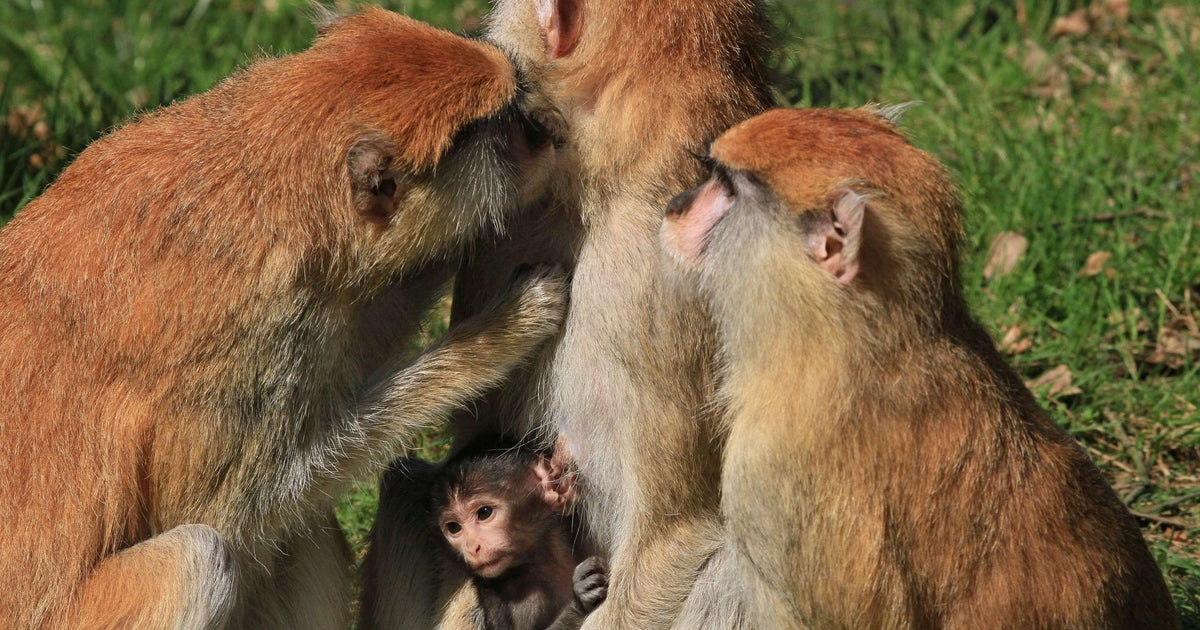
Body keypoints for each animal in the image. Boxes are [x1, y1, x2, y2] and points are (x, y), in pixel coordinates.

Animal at [0, 7, 569, 628]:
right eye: (505, 125)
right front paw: (505, 329)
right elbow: (239, 507)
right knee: (199, 555)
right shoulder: (250, 341)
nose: (549, 131)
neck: (256, 168)